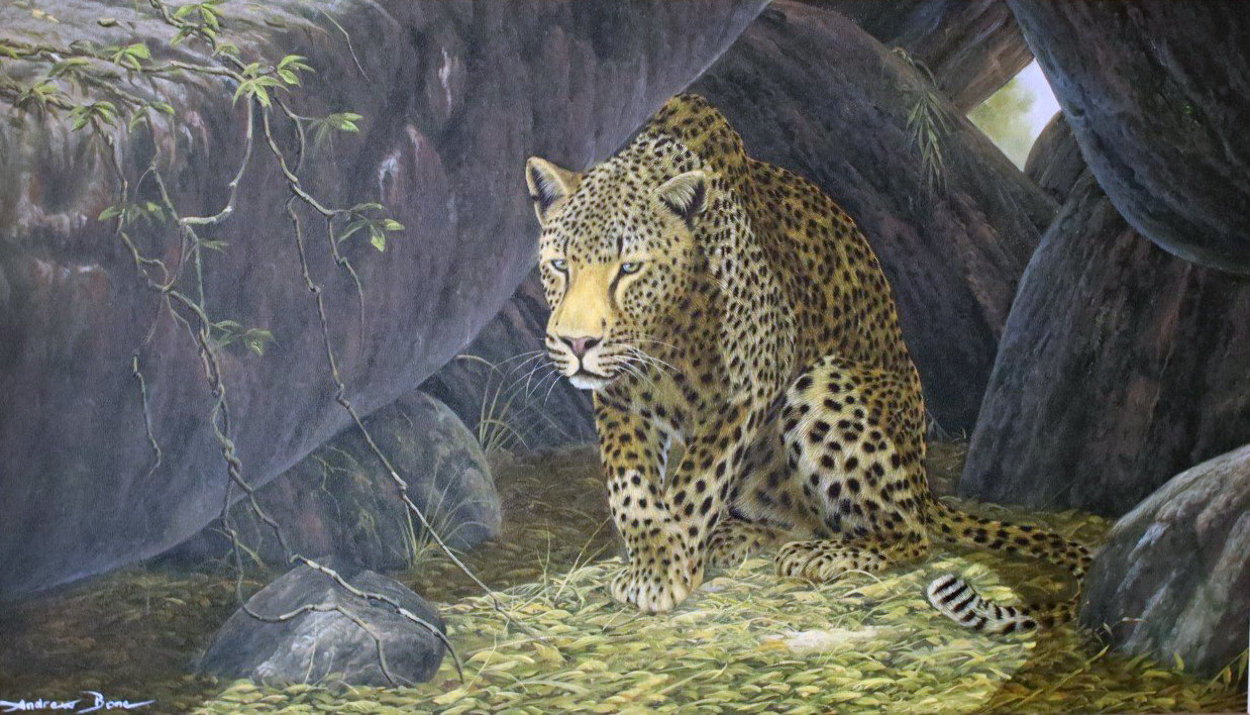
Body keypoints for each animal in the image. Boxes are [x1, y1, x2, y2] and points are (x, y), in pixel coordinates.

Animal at [524, 93, 1091, 633]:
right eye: (560, 266)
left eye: (629, 269)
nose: (577, 343)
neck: (668, 329)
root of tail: (924, 486)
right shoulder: (619, 397)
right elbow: (632, 488)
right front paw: (654, 560)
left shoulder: (749, 385)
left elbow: (694, 484)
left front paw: (665, 572)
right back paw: (734, 536)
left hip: (823, 385)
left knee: (909, 535)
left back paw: (822, 554)